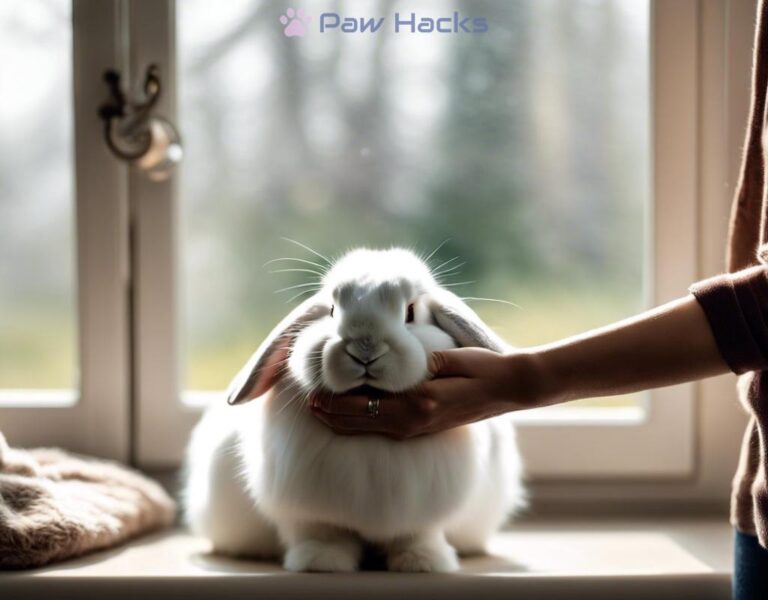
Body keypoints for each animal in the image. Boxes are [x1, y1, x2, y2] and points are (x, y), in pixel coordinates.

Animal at [183, 248, 525, 573]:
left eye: (410, 312)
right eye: (333, 311)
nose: (364, 349)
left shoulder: (420, 511)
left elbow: (417, 535)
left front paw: (422, 562)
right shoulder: (311, 511)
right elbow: (322, 533)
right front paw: (321, 562)